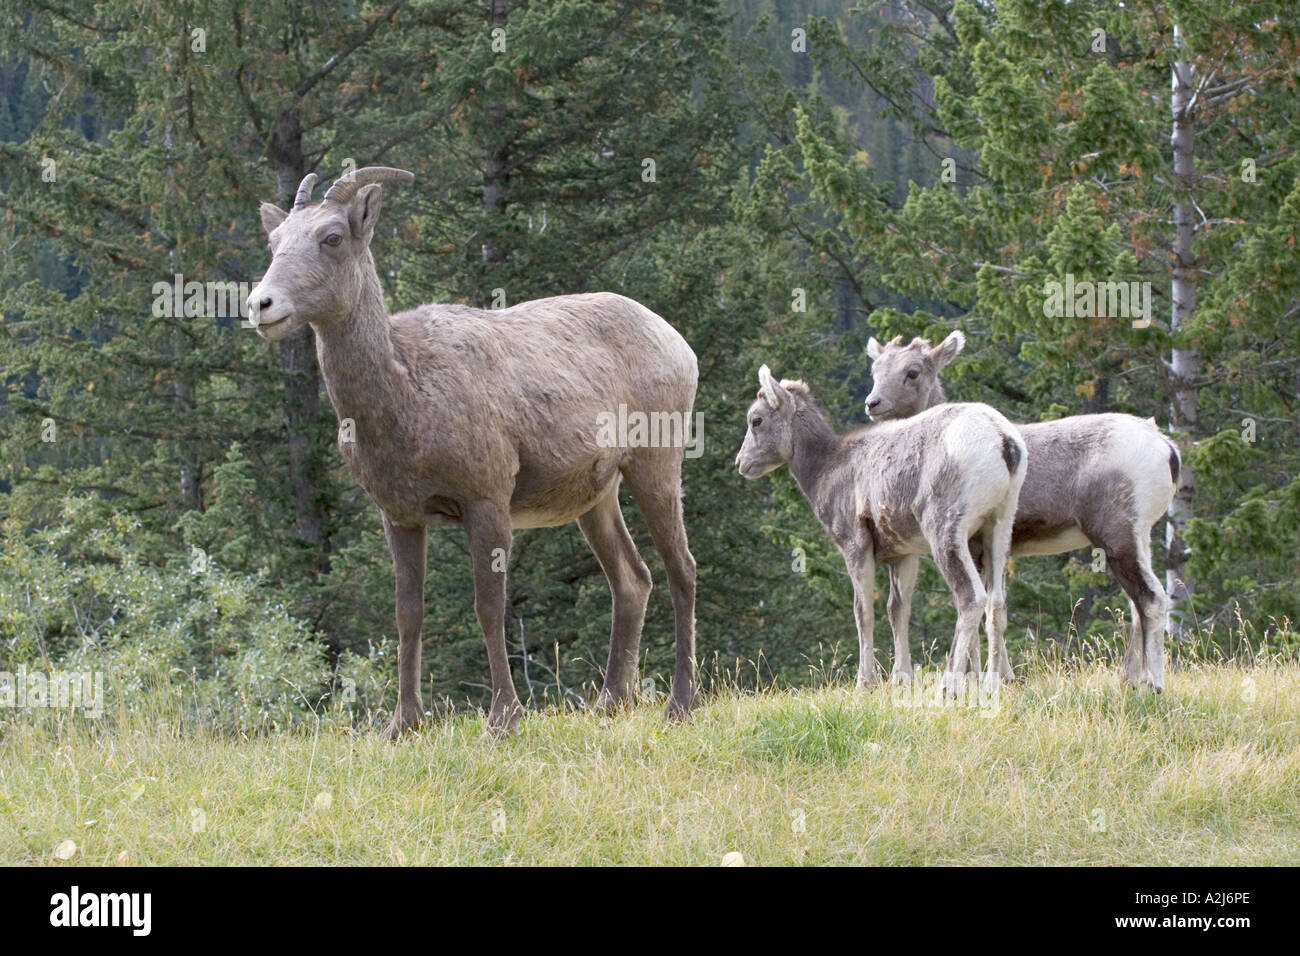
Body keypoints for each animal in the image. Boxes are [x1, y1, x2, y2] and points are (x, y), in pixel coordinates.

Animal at [247, 167, 699, 736]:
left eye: (331, 237)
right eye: (273, 242)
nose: (260, 305)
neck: (406, 397)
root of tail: (679, 344)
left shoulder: (486, 502)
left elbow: (488, 608)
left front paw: (503, 719)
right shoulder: (400, 516)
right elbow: (408, 615)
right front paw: (403, 725)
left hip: (656, 466)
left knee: (682, 568)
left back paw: (681, 704)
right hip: (596, 498)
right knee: (632, 579)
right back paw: (609, 702)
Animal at [735, 365, 1027, 694]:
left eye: (756, 420)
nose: (741, 463)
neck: (828, 467)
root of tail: (1003, 440)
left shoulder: (855, 544)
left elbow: (863, 612)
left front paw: (865, 681)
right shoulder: (904, 554)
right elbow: (897, 610)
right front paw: (902, 677)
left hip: (946, 532)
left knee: (971, 598)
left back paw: (948, 686)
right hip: (998, 528)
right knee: (996, 602)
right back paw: (995, 683)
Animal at [865, 331, 1180, 691]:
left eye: (913, 371)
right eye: (875, 369)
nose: (873, 403)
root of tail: (1167, 449)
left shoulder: (972, 544)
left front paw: (983, 678)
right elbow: (994, 607)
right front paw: (1001, 676)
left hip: (1118, 535)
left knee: (1151, 599)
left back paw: (1153, 683)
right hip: (1142, 537)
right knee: (1137, 604)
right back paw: (1129, 678)